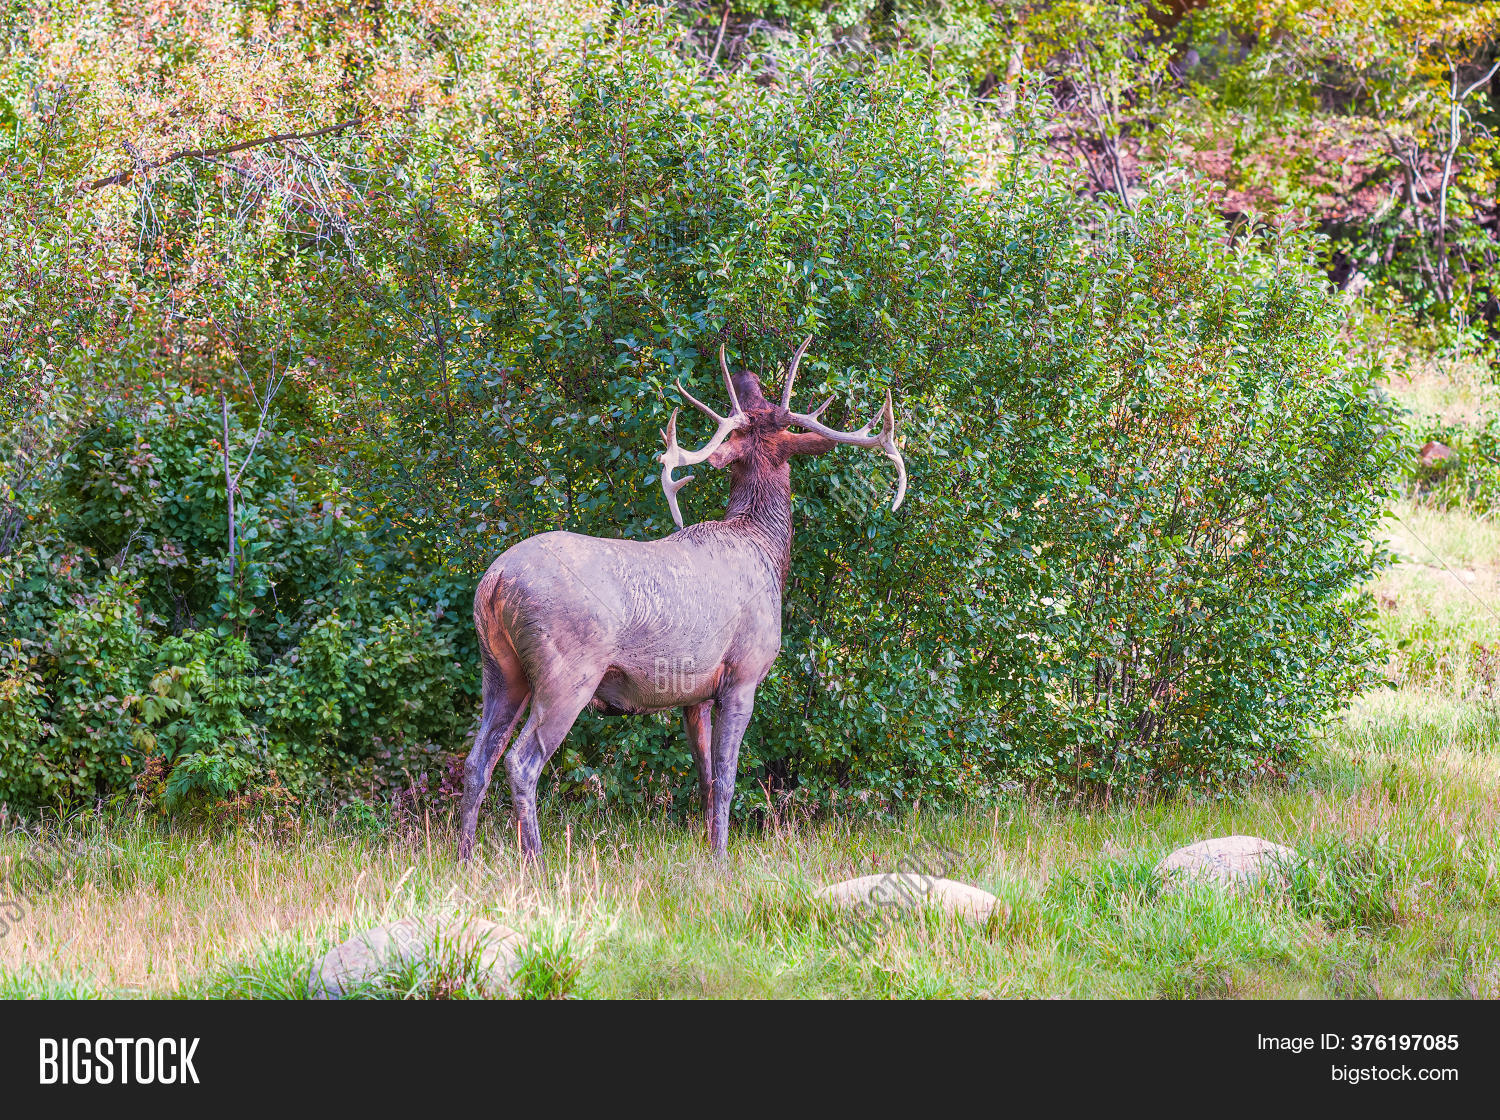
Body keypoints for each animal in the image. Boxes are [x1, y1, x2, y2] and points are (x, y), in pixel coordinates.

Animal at [457, 337, 905, 862]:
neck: (766, 549)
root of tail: (494, 582)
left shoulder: (695, 695)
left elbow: (705, 780)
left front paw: (709, 852)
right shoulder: (742, 674)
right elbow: (727, 779)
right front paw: (724, 859)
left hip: (501, 670)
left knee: (477, 760)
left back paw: (464, 860)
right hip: (567, 671)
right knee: (521, 762)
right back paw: (537, 862)